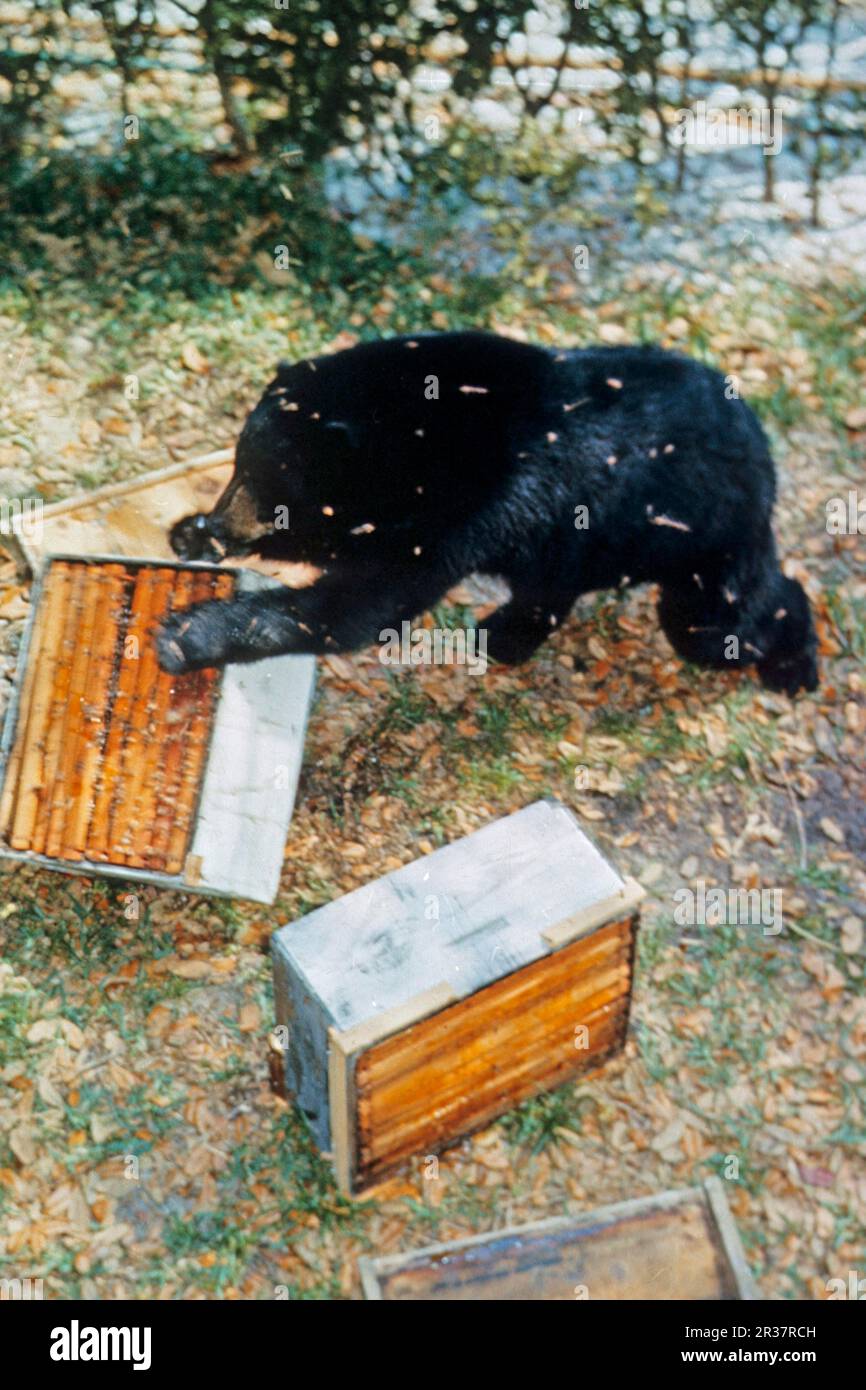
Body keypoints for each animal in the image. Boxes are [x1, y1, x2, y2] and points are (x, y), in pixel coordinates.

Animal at [157, 330, 818, 697]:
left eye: (264, 482)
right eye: (238, 468)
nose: (228, 516)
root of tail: (766, 460)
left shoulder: (476, 502)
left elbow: (362, 605)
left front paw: (185, 635)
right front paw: (193, 532)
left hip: (701, 540)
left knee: (722, 622)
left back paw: (795, 665)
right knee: (552, 589)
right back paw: (503, 636)